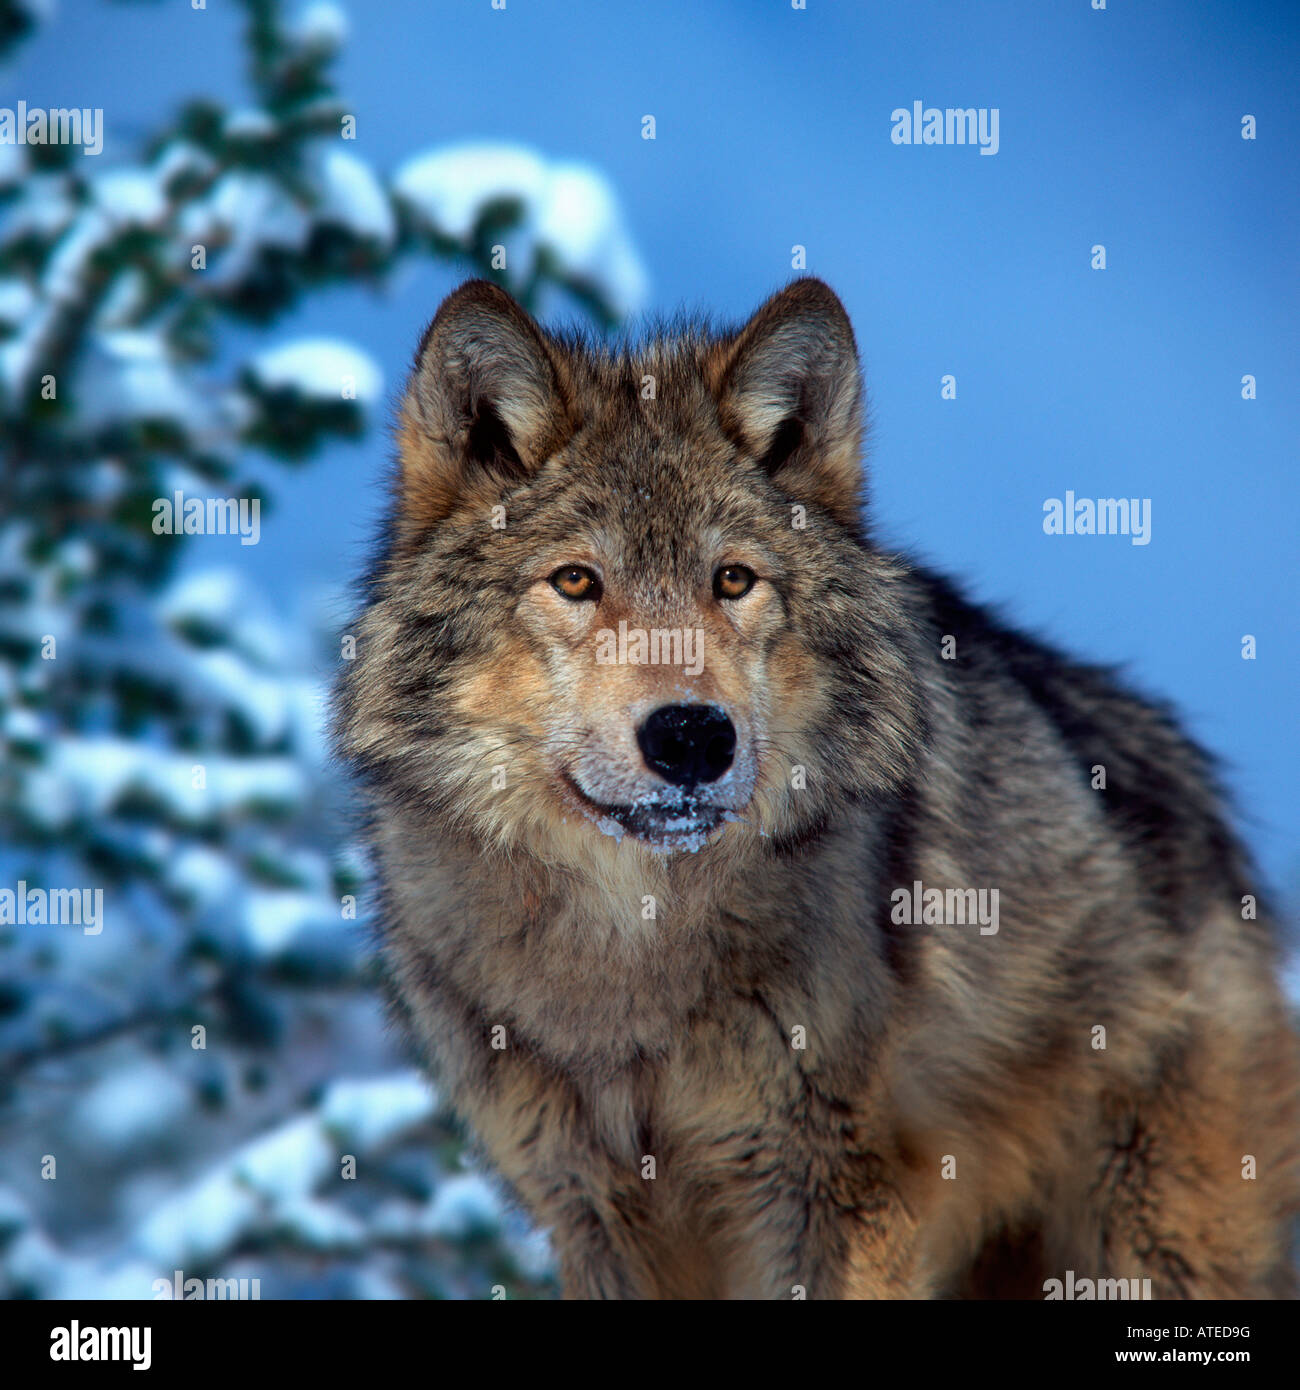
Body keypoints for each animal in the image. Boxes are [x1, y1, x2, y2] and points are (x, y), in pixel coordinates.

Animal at [334, 277, 1299, 1298]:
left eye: (733, 580)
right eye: (576, 581)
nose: (692, 735)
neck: (632, 951)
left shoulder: (840, 1191)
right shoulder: (590, 1214)